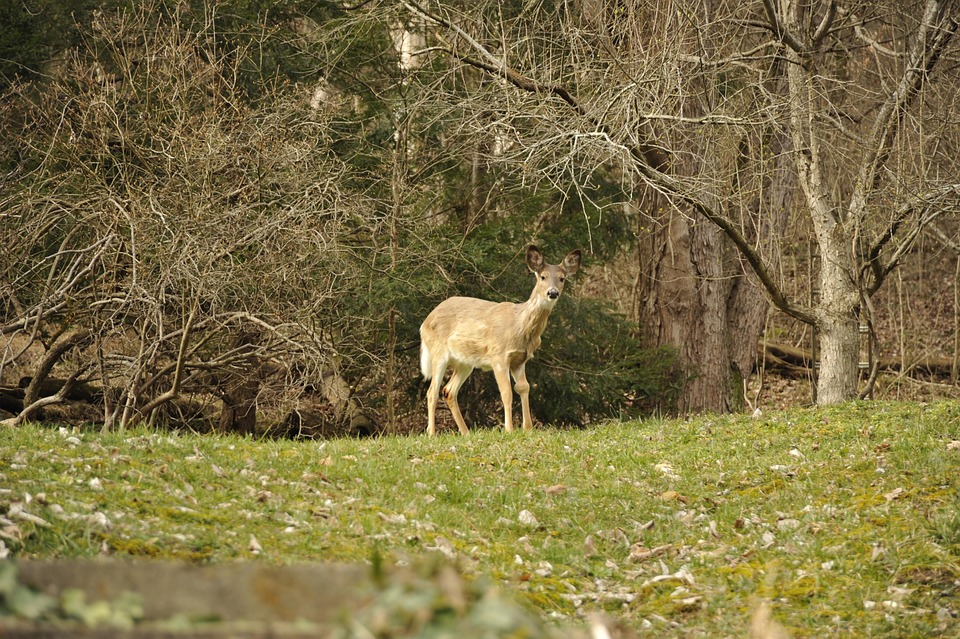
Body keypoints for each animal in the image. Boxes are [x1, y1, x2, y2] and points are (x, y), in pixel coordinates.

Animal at [419, 245, 582, 436]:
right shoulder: (498, 355)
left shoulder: (520, 359)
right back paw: (432, 433)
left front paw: (527, 428)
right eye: (543, 277)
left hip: (465, 362)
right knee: (432, 391)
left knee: (449, 391)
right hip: (438, 352)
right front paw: (509, 429)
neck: (520, 326)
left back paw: (466, 433)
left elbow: (524, 387)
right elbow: (506, 392)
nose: (553, 292)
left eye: (562, 278)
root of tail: (425, 322)